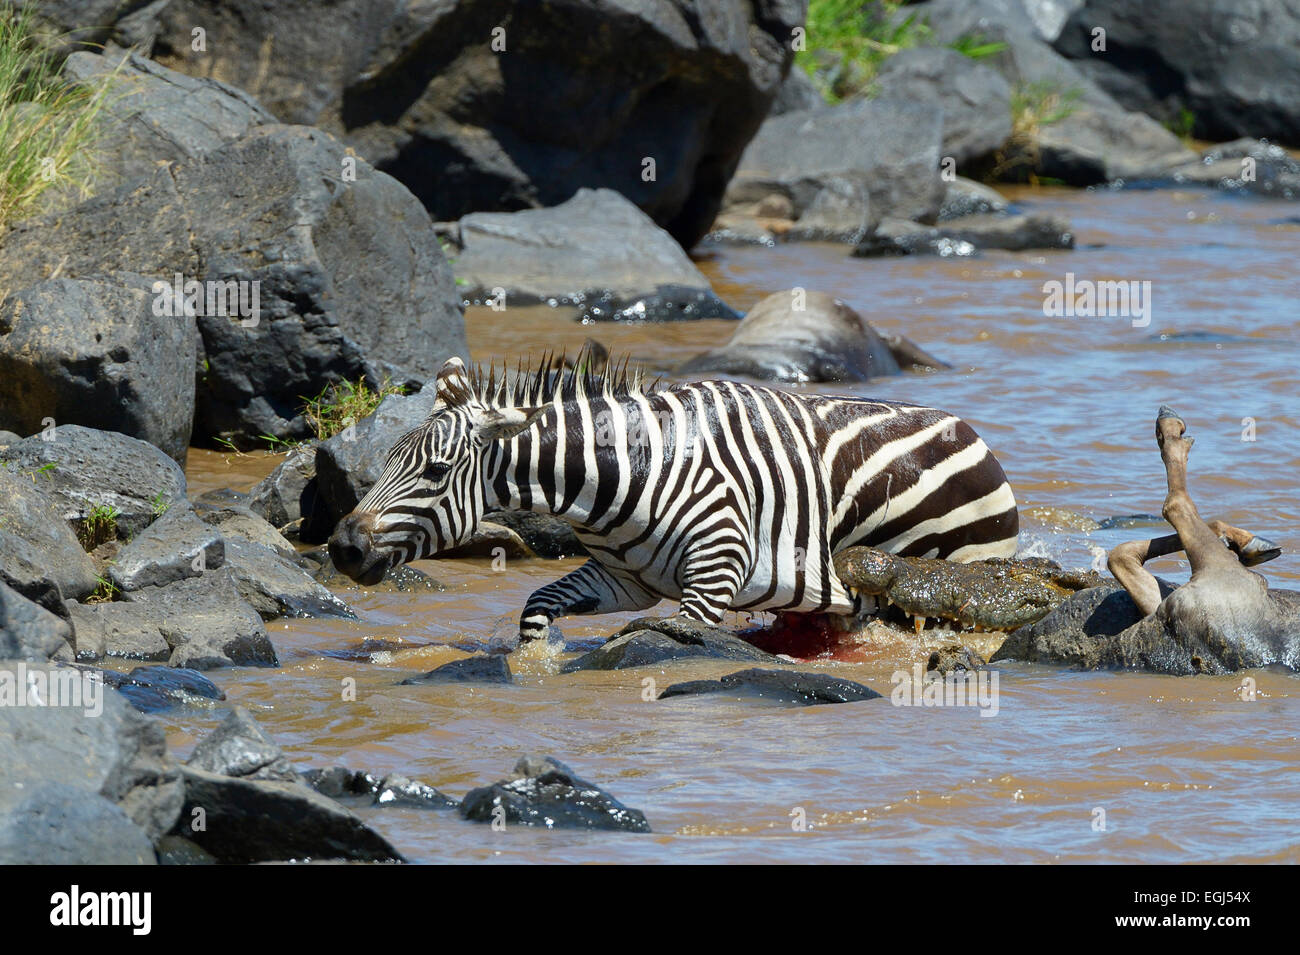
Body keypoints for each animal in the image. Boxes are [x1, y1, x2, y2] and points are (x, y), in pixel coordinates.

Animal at [328, 355, 1019, 642]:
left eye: (436, 471)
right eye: (385, 461)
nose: (340, 548)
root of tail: (972, 432)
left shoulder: (715, 577)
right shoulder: (624, 579)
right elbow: (536, 608)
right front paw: (539, 665)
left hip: (948, 582)